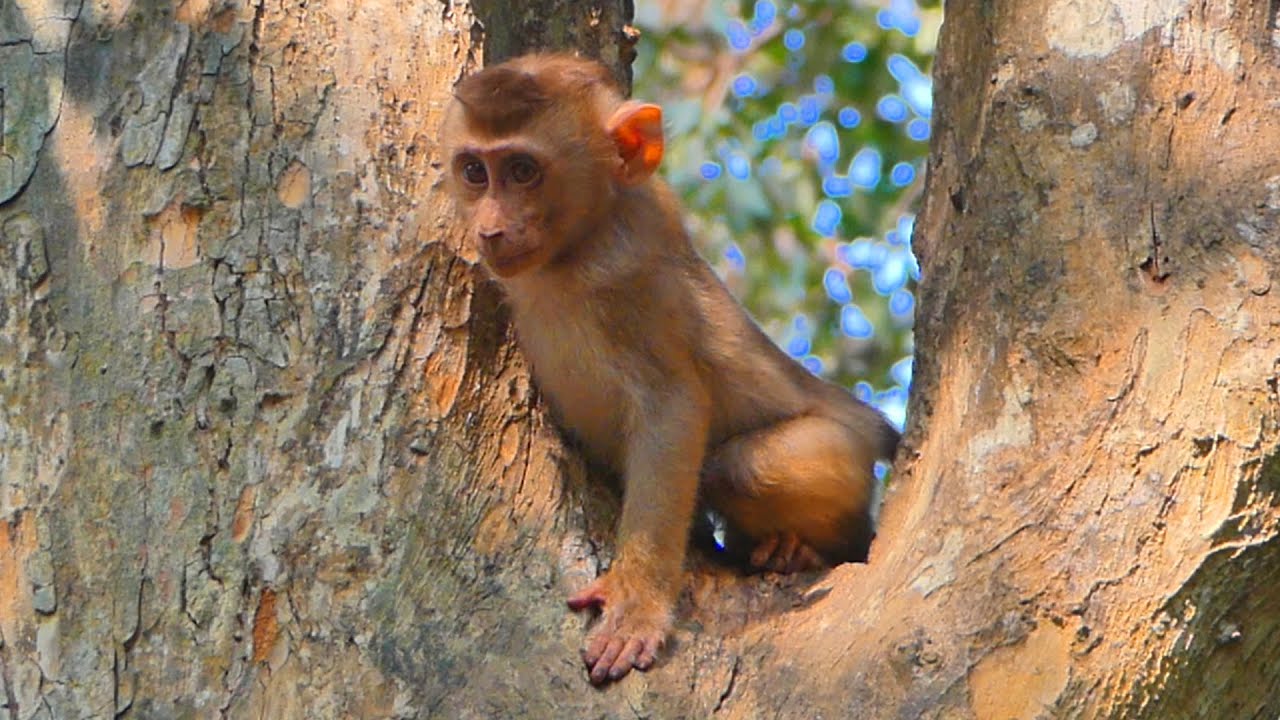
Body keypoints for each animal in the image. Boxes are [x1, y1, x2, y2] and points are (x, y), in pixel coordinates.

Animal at [440, 53, 899, 685]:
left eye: (523, 170)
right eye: (474, 171)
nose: (488, 228)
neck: (576, 249)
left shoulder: (632, 283)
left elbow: (673, 409)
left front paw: (636, 606)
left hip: (841, 449)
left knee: (736, 468)